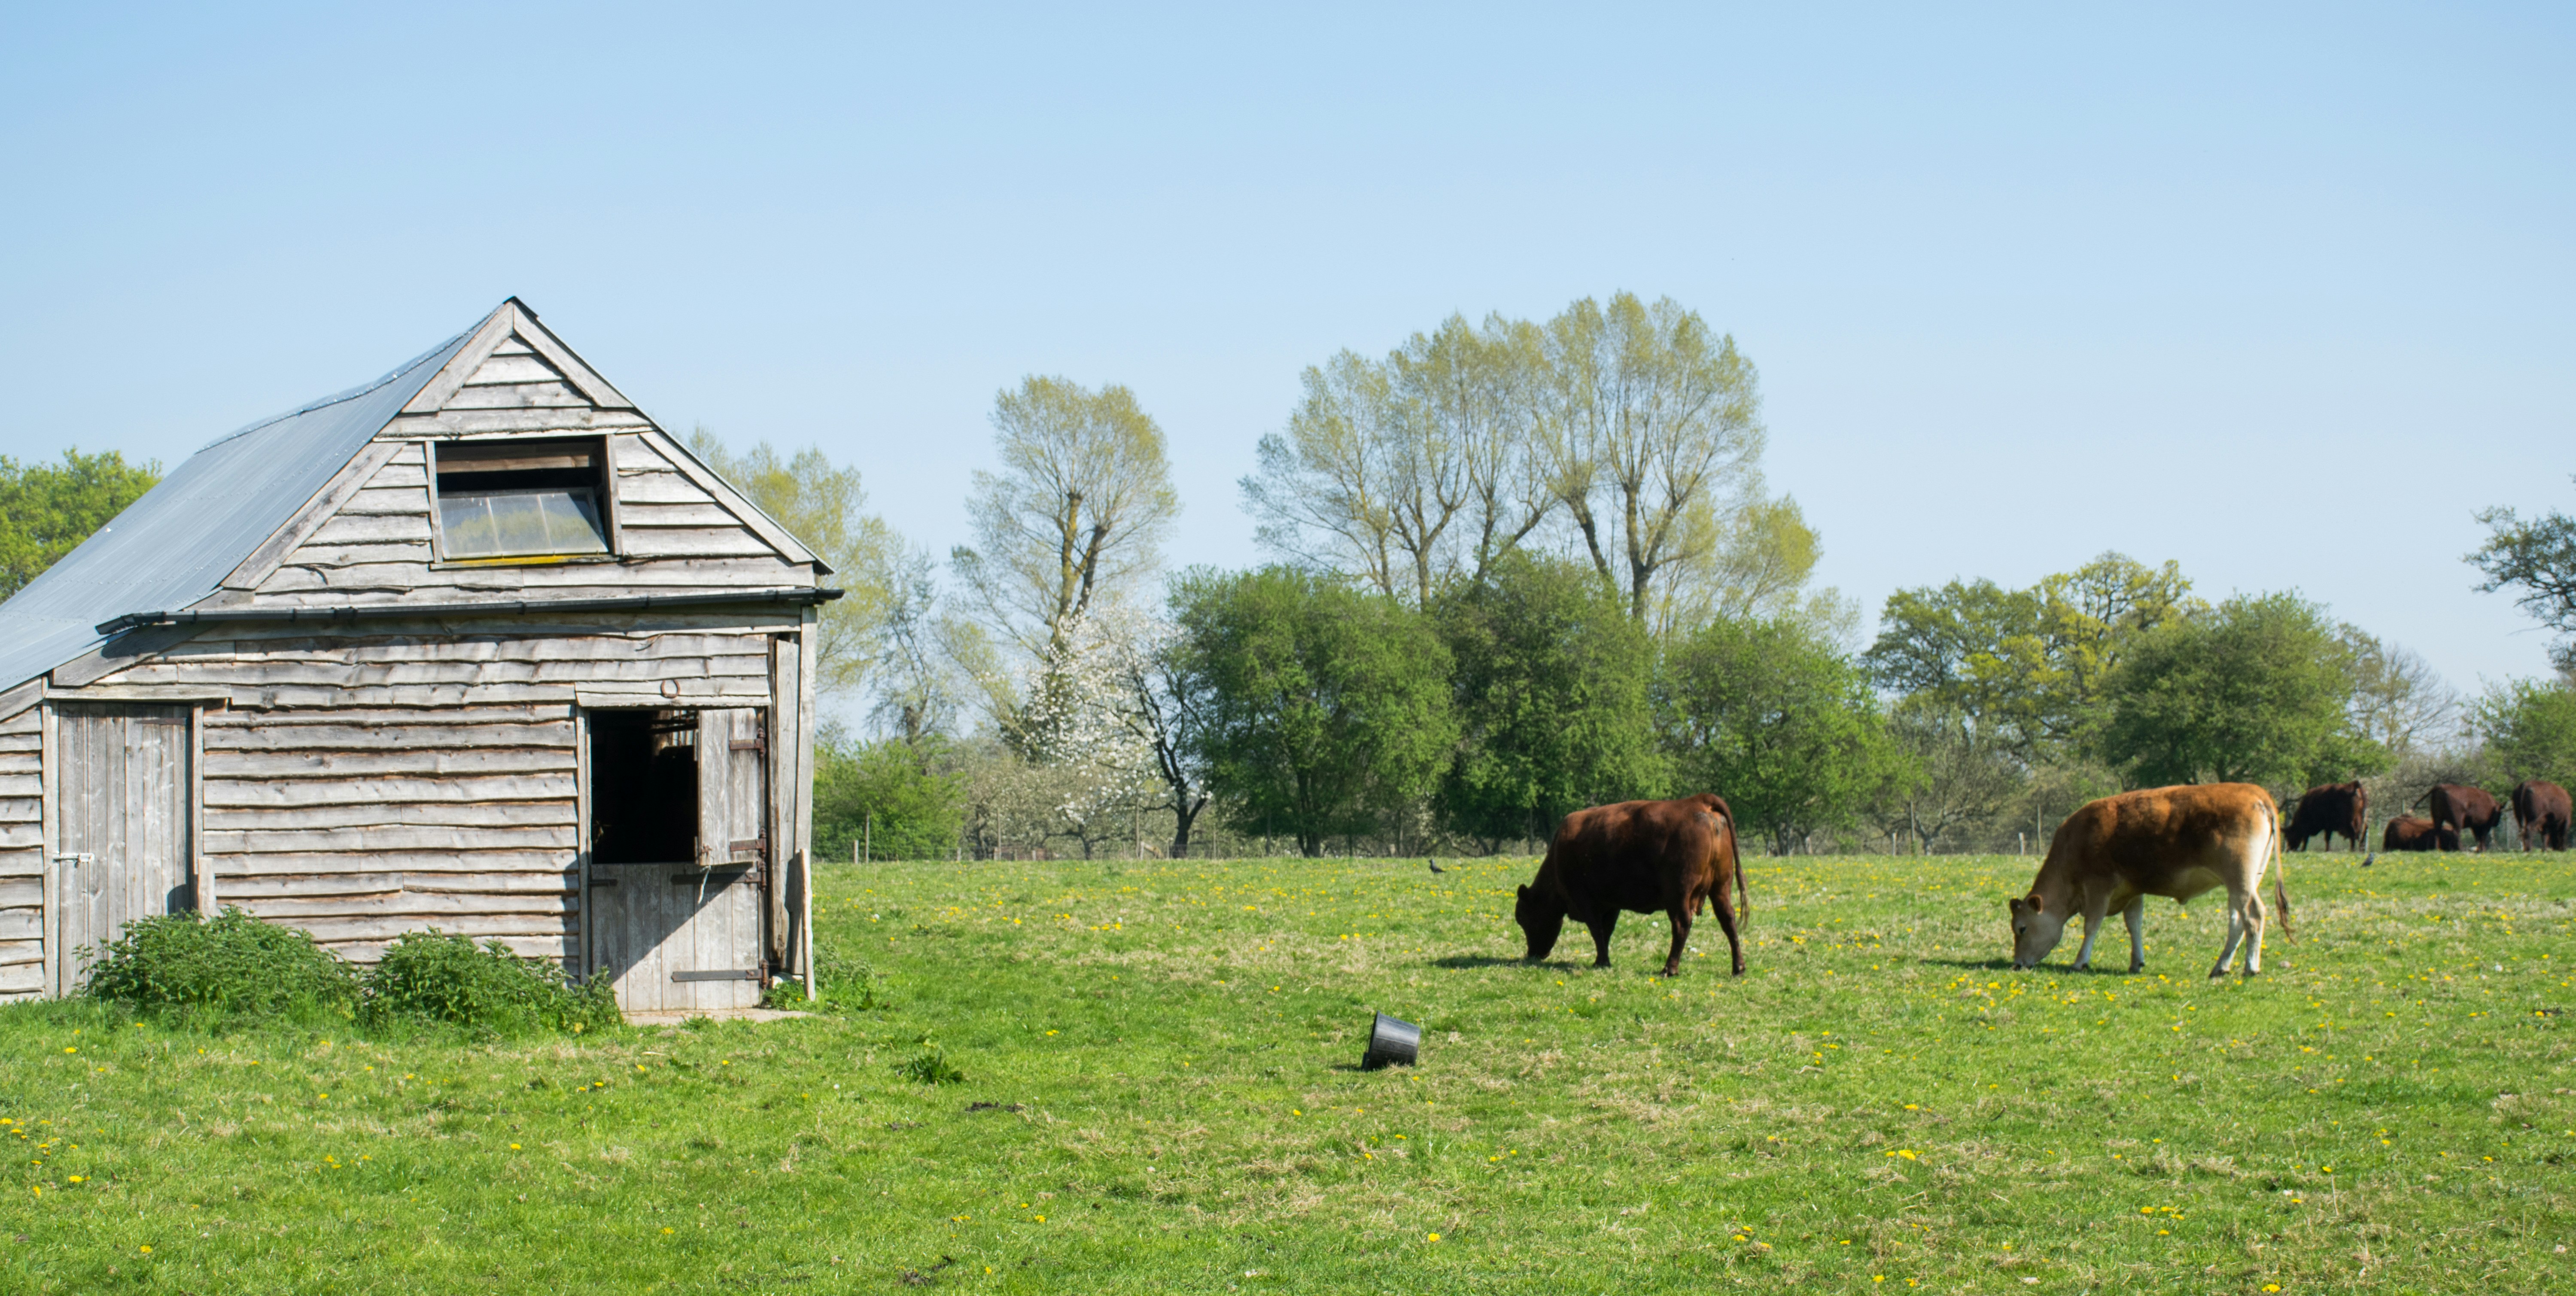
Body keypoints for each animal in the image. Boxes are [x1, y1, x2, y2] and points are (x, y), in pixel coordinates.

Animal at [1515, 794, 1747, 977]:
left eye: (1525, 919)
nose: (1533, 955)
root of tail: (1698, 801)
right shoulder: (1611, 904)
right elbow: (1606, 931)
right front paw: (1603, 960)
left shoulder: (1586, 900)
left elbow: (1597, 929)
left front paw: (1601, 961)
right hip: (1721, 886)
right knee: (1728, 919)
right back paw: (1738, 968)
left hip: (1679, 893)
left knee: (1682, 924)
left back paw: (1669, 969)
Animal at [2006, 783, 2291, 980]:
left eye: (2022, 929)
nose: (2017, 964)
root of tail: (2255, 792)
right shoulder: (2133, 891)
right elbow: (2134, 925)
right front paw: (2136, 962)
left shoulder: (2099, 887)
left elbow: (2092, 926)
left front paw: (2080, 962)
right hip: (2242, 883)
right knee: (2237, 921)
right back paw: (2221, 967)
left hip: (2239, 879)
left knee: (2254, 915)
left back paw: (2251, 967)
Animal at [2285, 781, 2368, 852]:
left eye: (2289, 836)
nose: (2289, 850)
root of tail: (2354, 785)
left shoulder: (2326, 827)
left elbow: (2317, 838)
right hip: (2361, 820)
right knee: (2362, 834)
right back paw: (2361, 850)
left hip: (2350, 822)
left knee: (2354, 834)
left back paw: (2352, 850)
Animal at [2416, 783, 2504, 851]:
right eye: (2500, 813)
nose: (2497, 823)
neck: (2493, 805)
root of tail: (2442, 787)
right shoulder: (2486, 825)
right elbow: (2482, 837)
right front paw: (2484, 850)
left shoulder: (2475, 826)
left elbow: (2478, 838)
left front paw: (2480, 850)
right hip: (2458, 820)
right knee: (2456, 833)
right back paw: (2461, 849)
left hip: (2438, 818)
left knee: (2438, 832)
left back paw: (2438, 849)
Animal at [2512, 780, 2572, 851]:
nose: (2557, 848)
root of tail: (2526, 784)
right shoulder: (2566, 820)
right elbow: (2563, 834)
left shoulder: (2545, 824)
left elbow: (2545, 836)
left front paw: (2544, 850)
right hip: (2535, 818)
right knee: (2529, 829)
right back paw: (2530, 849)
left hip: (2519, 817)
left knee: (2522, 831)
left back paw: (2526, 849)